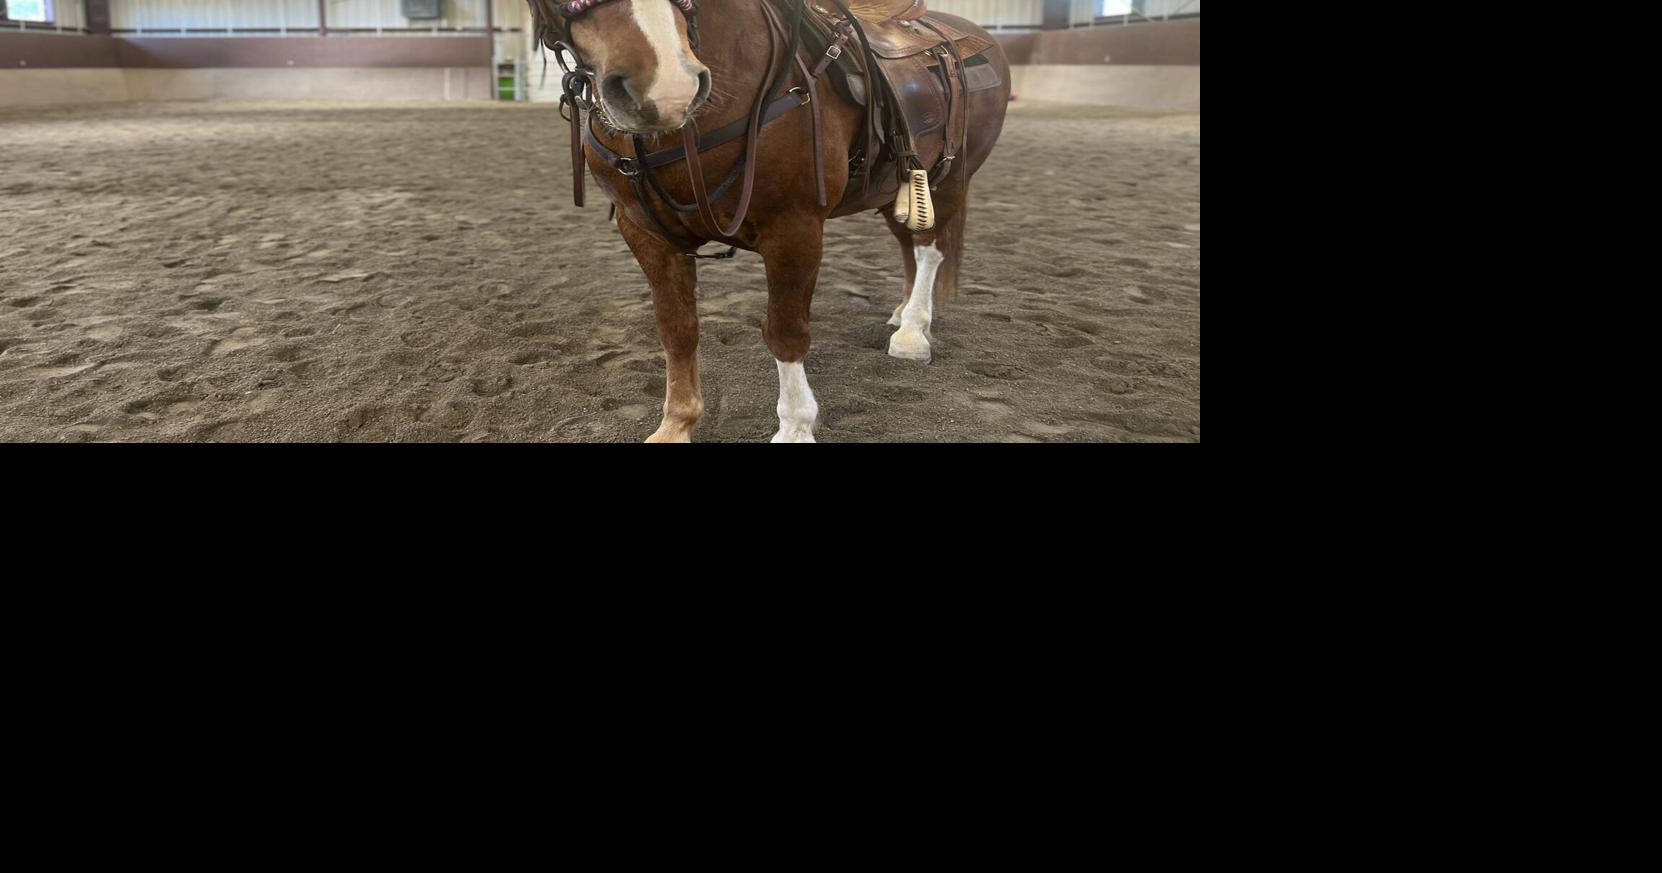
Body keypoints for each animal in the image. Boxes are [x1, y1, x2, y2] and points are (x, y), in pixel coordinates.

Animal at [528, 0, 1010, 442]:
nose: (667, 88)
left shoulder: (793, 229)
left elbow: (784, 333)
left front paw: (795, 427)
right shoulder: (645, 233)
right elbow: (677, 328)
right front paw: (676, 424)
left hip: (947, 180)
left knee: (929, 250)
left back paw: (913, 331)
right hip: (895, 187)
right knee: (908, 245)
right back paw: (904, 312)